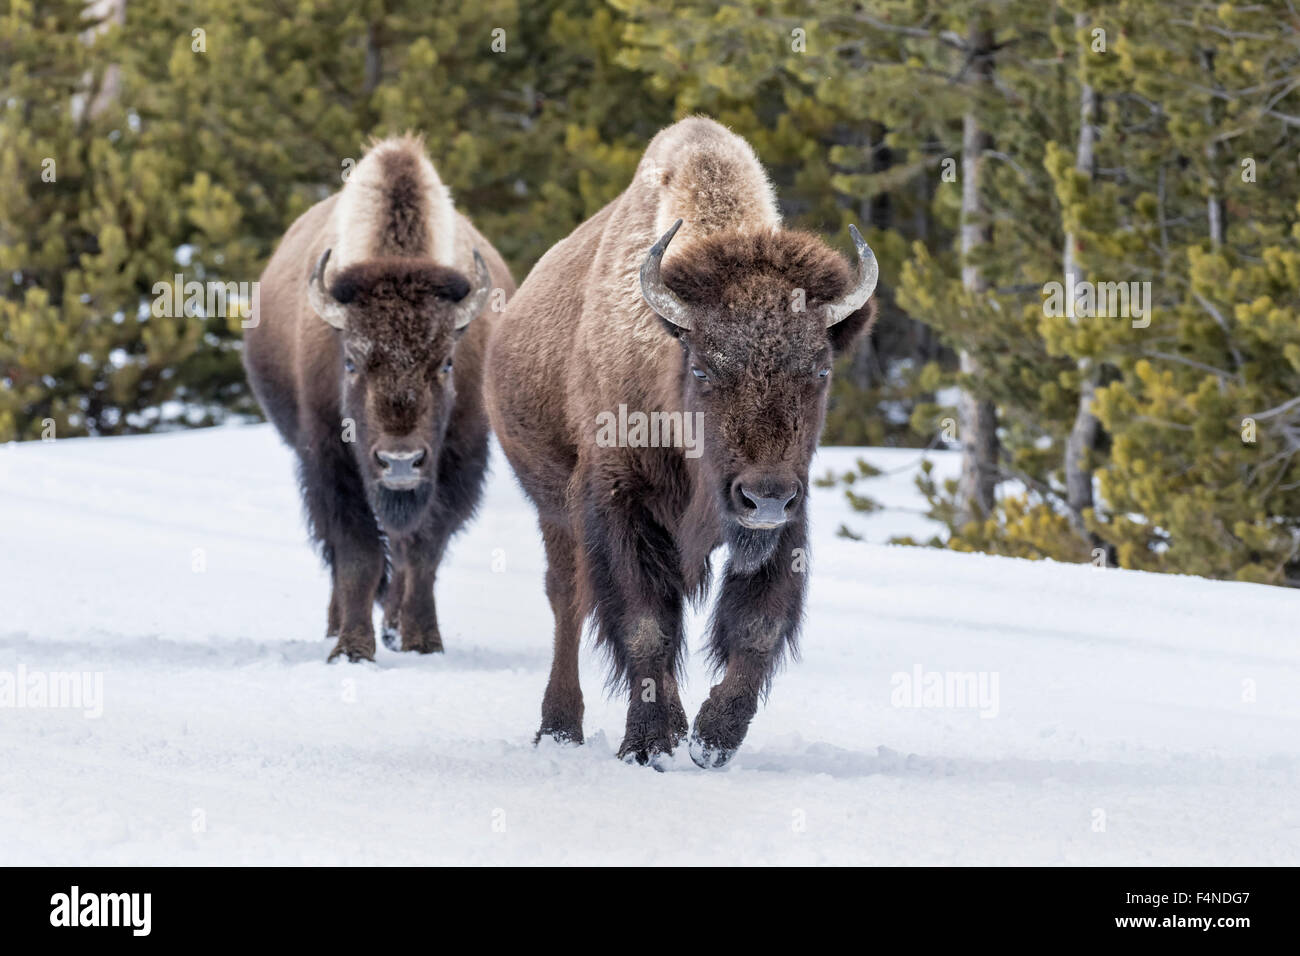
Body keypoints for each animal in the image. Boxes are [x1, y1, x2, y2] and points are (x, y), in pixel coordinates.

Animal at [245, 135, 514, 662]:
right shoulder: (331, 463)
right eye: (350, 361)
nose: (400, 462)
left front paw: (422, 640)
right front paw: (351, 648)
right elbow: (358, 554)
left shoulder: (458, 462)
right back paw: (338, 626)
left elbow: (423, 550)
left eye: (446, 362)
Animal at [485, 117, 878, 767]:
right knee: (568, 603)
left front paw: (711, 740)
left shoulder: (787, 522)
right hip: (554, 513)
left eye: (820, 369)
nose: (764, 497)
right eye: (703, 368)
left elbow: (757, 627)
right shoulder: (618, 504)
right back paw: (559, 728)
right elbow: (645, 624)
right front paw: (649, 744)